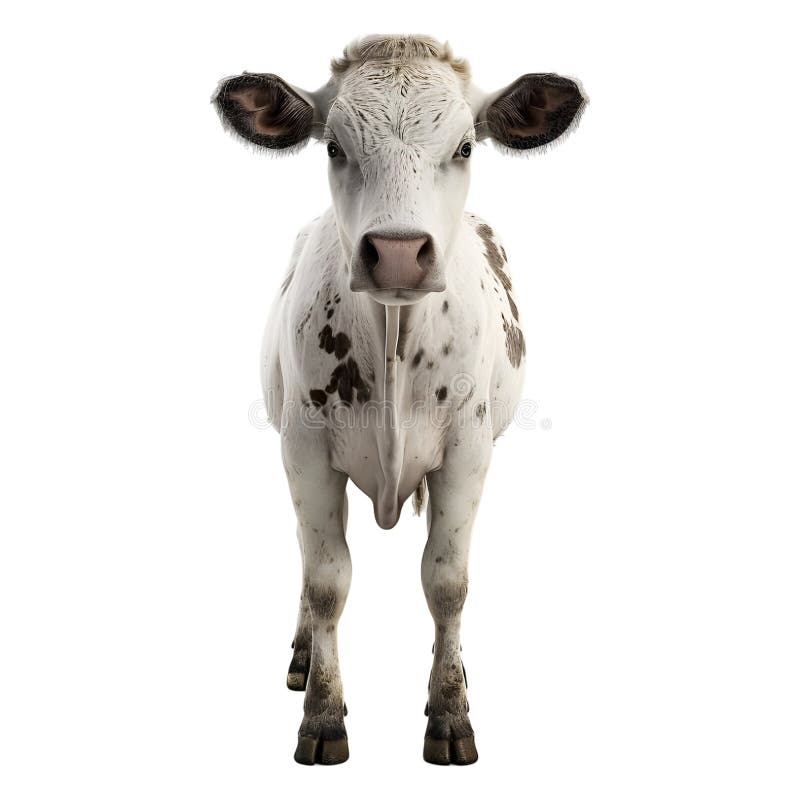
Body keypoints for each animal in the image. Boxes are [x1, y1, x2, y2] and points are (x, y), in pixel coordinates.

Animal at [213, 34, 585, 766]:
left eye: (466, 146)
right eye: (333, 146)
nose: (396, 252)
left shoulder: (468, 449)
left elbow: (447, 582)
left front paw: (451, 711)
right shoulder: (303, 449)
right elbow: (326, 580)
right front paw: (323, 715)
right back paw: (303, 657)